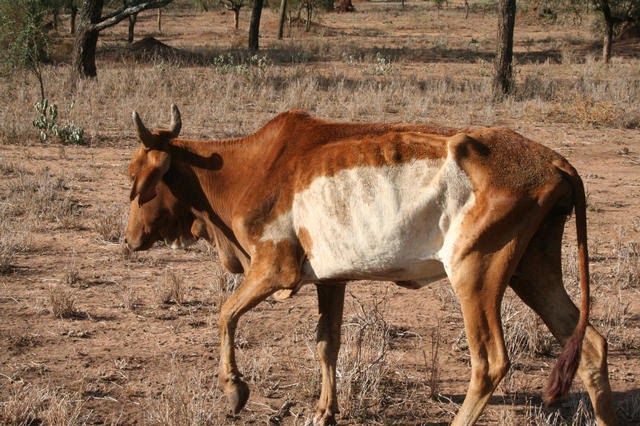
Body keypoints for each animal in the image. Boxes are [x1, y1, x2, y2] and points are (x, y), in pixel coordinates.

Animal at [124, 105, 617, 426]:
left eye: (136, 182)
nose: (129, 240)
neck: (246, 169)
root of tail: (552, 161)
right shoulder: (331, 280)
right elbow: (326, 343)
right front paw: (324, 411)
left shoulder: (272, 269)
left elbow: (225, 315)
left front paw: (234, 391)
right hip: (531, 269)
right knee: (590, 344)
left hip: (476, 273)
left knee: (490, 362)